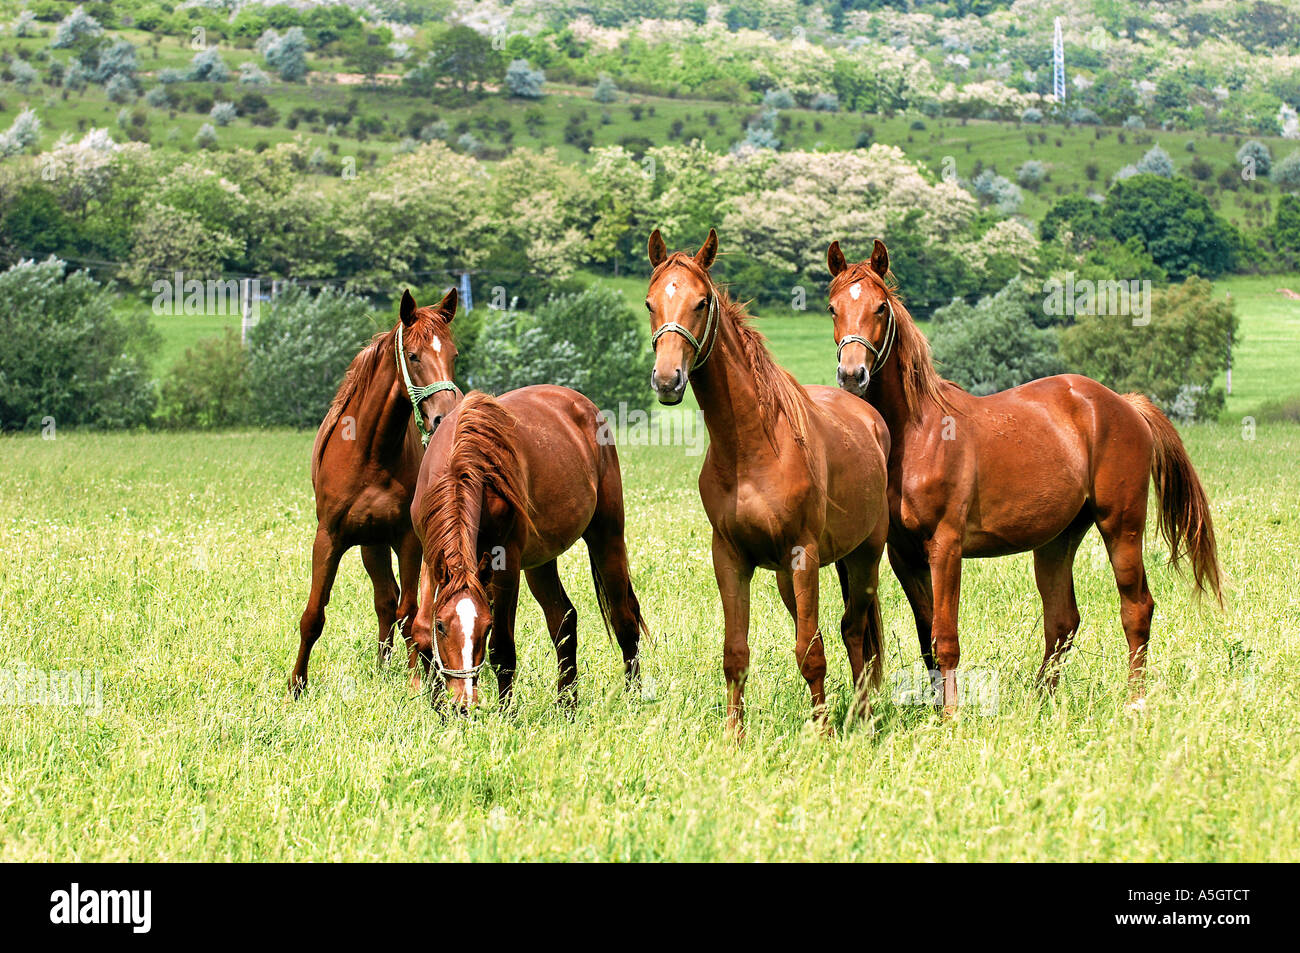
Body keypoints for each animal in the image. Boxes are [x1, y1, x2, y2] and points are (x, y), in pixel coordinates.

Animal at [290, 288, 462, 696]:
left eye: (453, 355)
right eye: (413, 355)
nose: (444, 418)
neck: (369, 452)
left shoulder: (409, 541)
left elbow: (410, 612)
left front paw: (416, 681)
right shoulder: (330, 538)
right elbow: (314, 614)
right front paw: (296, 685)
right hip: (372, 545)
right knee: (384, 600)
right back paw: (383, 666)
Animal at [409, 387, 647, 709]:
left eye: (485, 627)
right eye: (442, 626)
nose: (464, 702)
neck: (461, 463)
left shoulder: (506, 565)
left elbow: (502, 650)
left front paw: (505, 714)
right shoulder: (431, 555)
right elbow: (421, 632)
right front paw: (439, 708)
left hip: (607, 536)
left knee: (624, 619)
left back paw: (633, 698)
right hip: (541, 562)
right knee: (563, 620)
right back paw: (567, 704)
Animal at [645, 228, 892, 738]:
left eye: (701, 302)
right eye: (650, 303)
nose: (667, 380)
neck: (753, 449)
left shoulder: (803, 554)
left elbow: (811, 652)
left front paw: (822, 734)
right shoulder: (730, 558)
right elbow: (735, 654)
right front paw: (734, 738)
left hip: (864, 555)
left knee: (856, 629)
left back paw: (862, 717)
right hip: (788, 575)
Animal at [825, 238, 1223, 711]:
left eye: (881, 307)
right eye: (832, 308)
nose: (853, 374)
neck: (917, 434)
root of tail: (1124, 404)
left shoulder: (946, 547)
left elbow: (946, 638)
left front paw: (951, 716)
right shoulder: (905, 556)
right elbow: (927, 641)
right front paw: (938, 712)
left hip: (1121, 527)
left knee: (1136, 608)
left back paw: (1135, 700)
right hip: (1057, 540)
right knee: (1063, 620)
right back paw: (1042, 701)